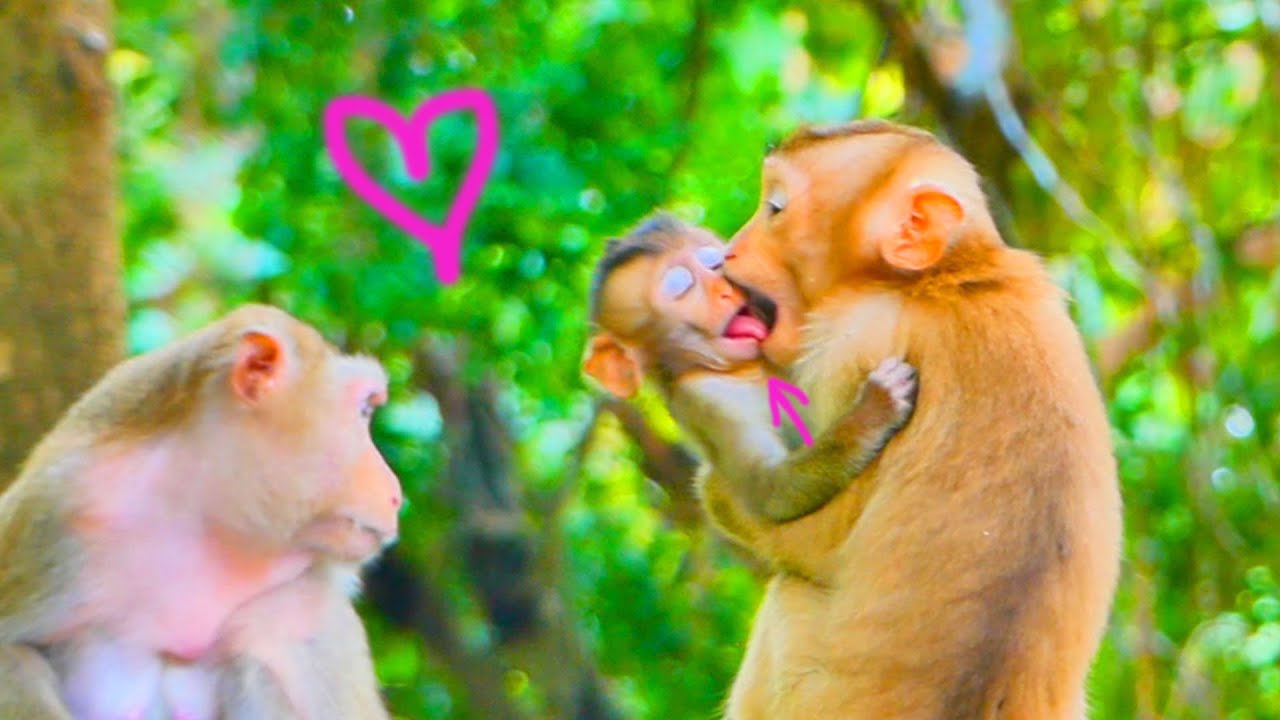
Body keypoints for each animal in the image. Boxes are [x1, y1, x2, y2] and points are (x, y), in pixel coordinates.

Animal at [0, 304, 398, 719]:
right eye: (364, 410)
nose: (395, 493)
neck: (209, 515)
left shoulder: (309, 600)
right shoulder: (58, 511)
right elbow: (12, 651)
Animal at [582, 215, 917, 576]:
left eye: (714, 263)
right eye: (682, 286)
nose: (724, 290)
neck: (743, 366)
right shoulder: (708, 400)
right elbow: (767, 487)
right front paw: (874, 409)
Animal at [712, 119, 1122, 719]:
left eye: (775, 209)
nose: (727, 254)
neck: (948, 276)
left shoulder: (851, 340)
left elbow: (802, 529)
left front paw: (721, 494)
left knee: (790, 595)